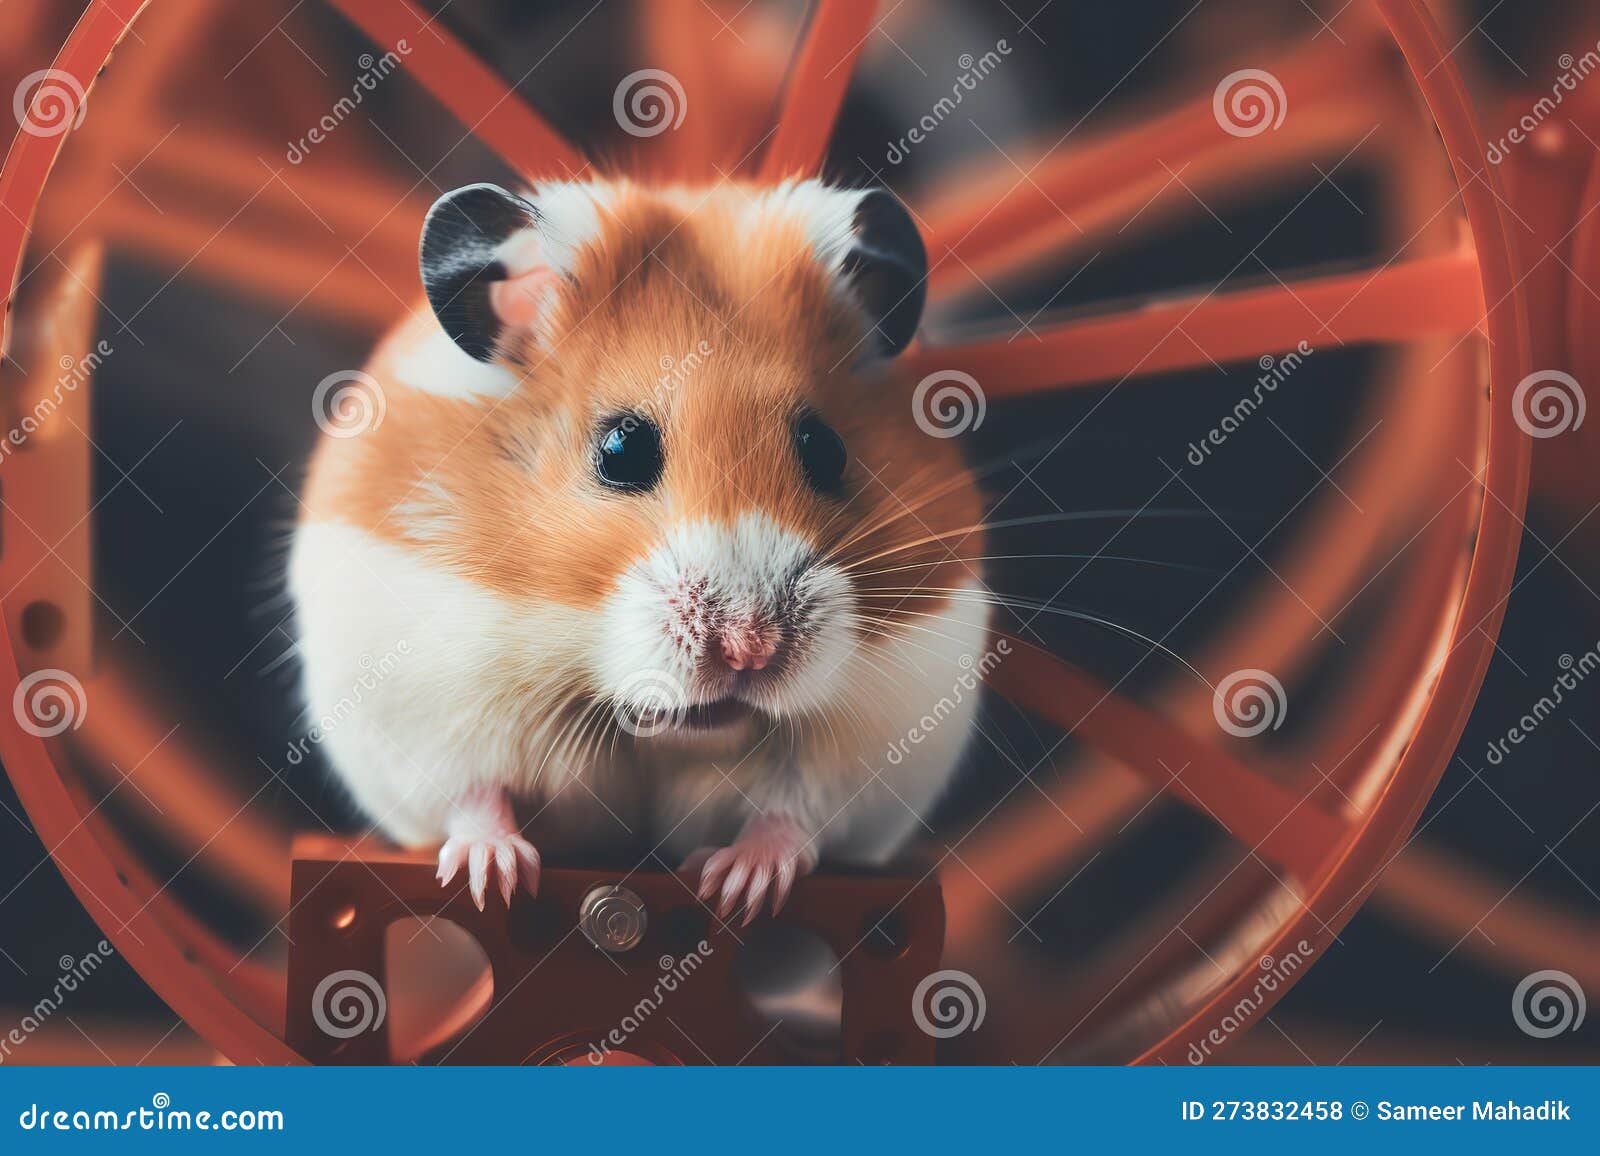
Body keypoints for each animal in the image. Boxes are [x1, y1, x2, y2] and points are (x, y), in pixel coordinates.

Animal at [289, 178, 989, 923]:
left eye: (826, 451)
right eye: (621, 449)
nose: (749, 651)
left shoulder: (882, 733)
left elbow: (795, 814)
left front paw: (737, 886)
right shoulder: (424, 702)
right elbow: (474, 794)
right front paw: (494, 877)